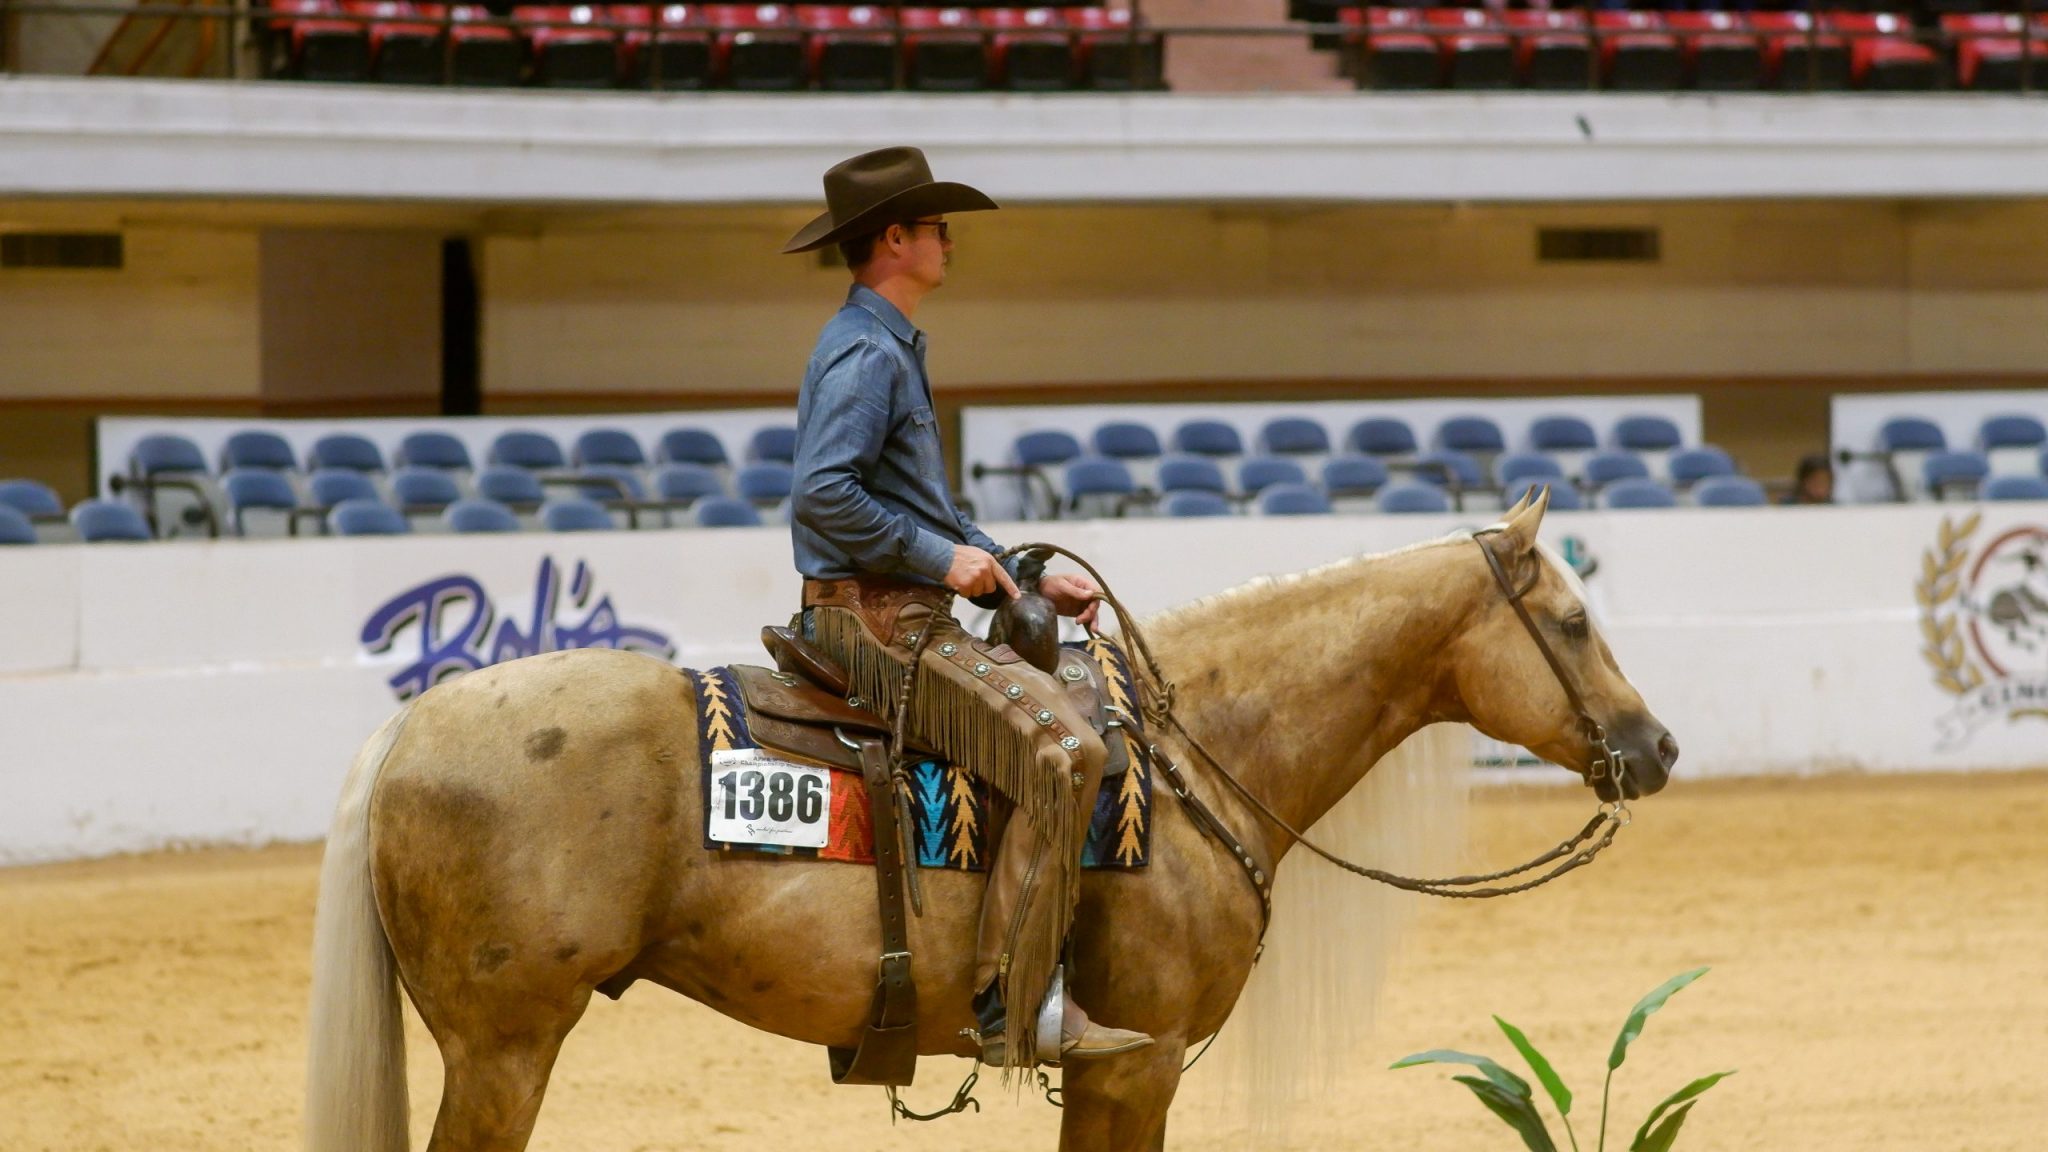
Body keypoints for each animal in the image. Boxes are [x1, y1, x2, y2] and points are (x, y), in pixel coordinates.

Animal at [304, 490, 1677, 1152]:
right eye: (1569, 622)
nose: (1654, 748)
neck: (1192, 757)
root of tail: (411, 727)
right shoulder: (1132, 1064)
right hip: (504, 1050)